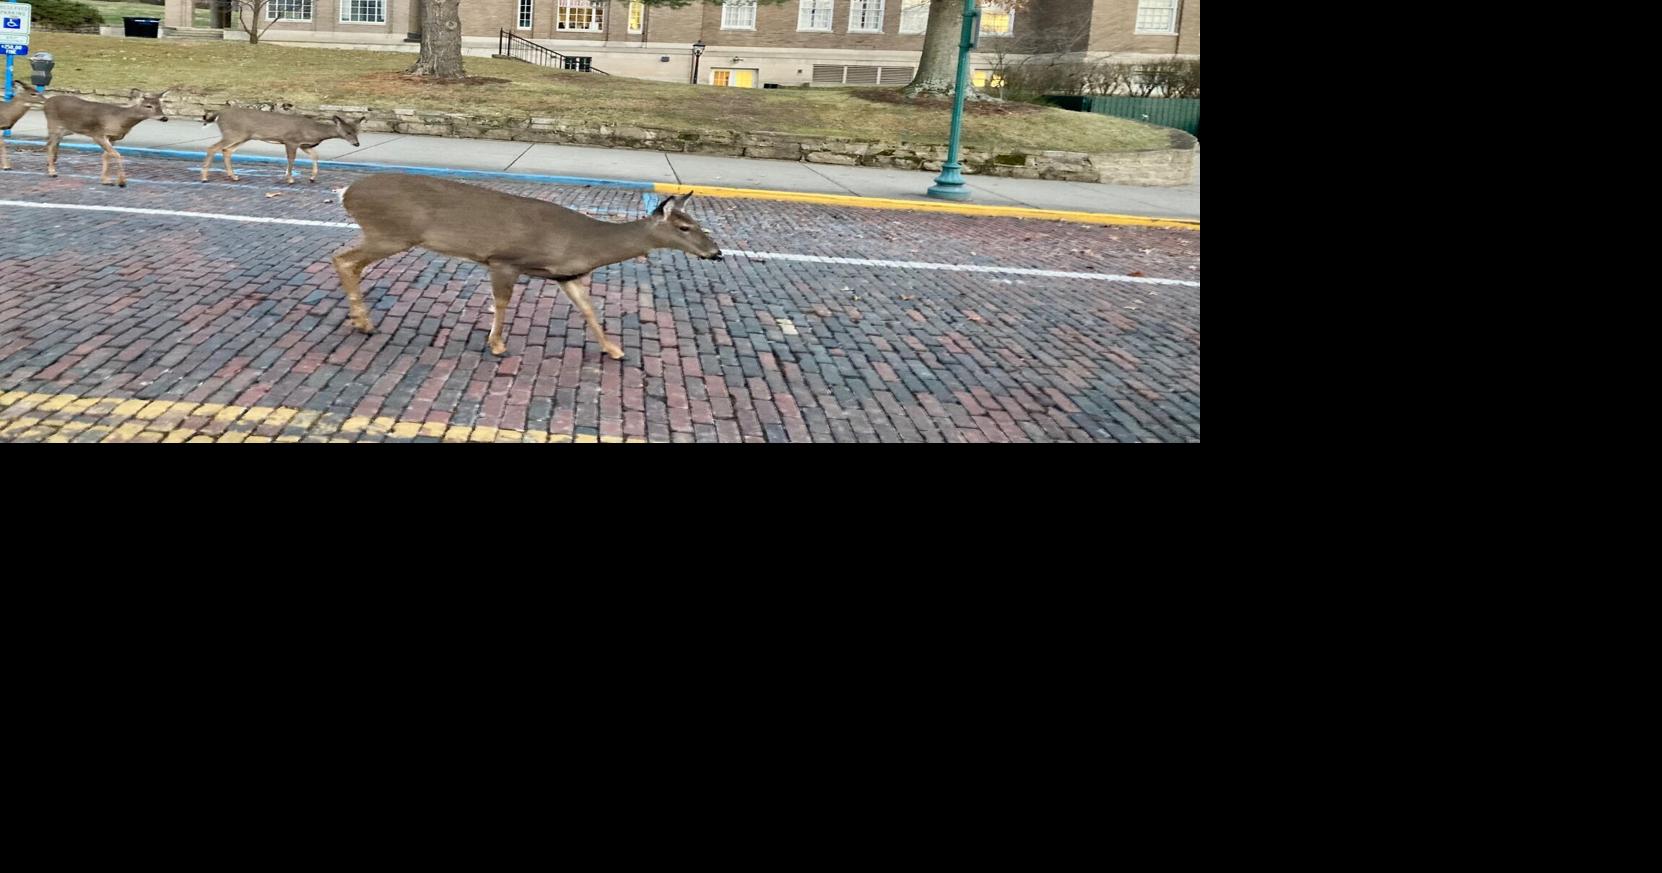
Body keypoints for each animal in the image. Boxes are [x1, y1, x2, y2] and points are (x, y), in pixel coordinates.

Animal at [200, 106, 363, 185]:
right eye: (348, 132)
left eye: (357, 131)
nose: (357, 144)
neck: (314, 131)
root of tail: (218, 114)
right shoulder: (291, 140)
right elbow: (291, 159)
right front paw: (290, 179)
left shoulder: (305, 145)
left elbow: (315, 156)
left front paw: (312, 178)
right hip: (233, 133)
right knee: (213, 148)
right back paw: (204, 178)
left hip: (243, 136)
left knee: (226, 150)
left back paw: (234, 176)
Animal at [332, 174, 725, 359]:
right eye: (684, 227)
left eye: (697, 222)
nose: (717, 252)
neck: (584, 243)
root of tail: (346, 192)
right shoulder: (504, 260)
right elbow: (502, 302)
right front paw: (497, 344)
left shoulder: (567, 276)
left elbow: (589, 311)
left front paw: (613, 349)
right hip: (391, 233)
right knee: (344, 260)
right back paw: (364, 323)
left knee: (345, 261)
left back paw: (360, 320)